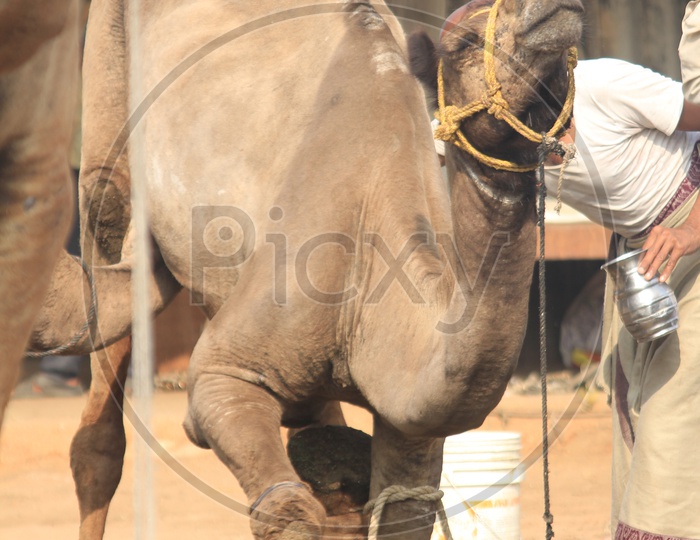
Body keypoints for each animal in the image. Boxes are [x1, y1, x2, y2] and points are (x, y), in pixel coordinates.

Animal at [29, 0, 582, 537]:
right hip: (105, 94)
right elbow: (285, 510)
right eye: (465, 42)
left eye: (564, 72)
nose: (556, 10)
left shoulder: (412, 420)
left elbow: (401, 509)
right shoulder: (223, 374)